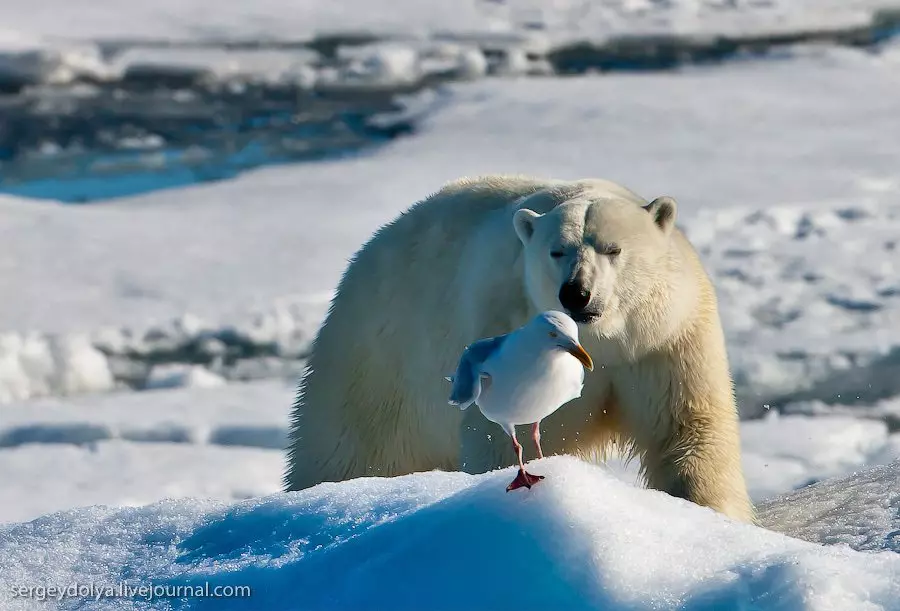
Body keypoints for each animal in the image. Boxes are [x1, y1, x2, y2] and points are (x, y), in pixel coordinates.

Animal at [284, 175, 756, 524]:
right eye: (557, 250)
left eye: (613, 249)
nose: (576, 293)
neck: (604, 342)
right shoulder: (504, 325)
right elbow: (497, 433)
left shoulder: (663, 340)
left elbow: (685, 429)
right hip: (377, 366)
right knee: (345, 451)